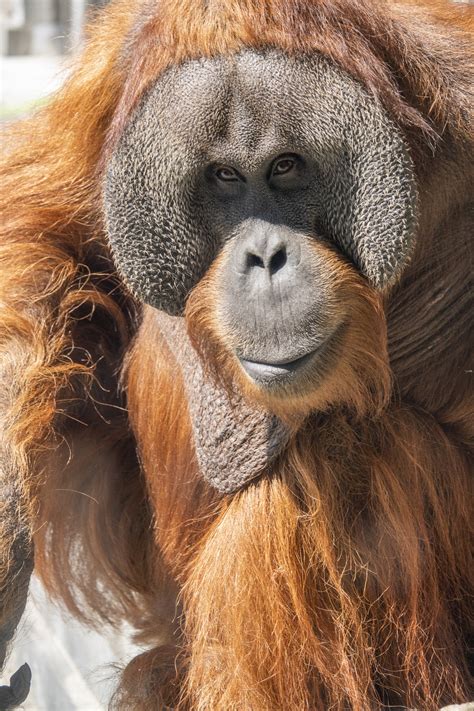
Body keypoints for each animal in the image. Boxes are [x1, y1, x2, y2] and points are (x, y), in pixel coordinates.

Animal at [0, 0, 472, 709]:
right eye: (223, 177)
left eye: (286, 166)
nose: (265, 256)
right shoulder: (98, 105)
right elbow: (42, 237)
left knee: (339, 449)